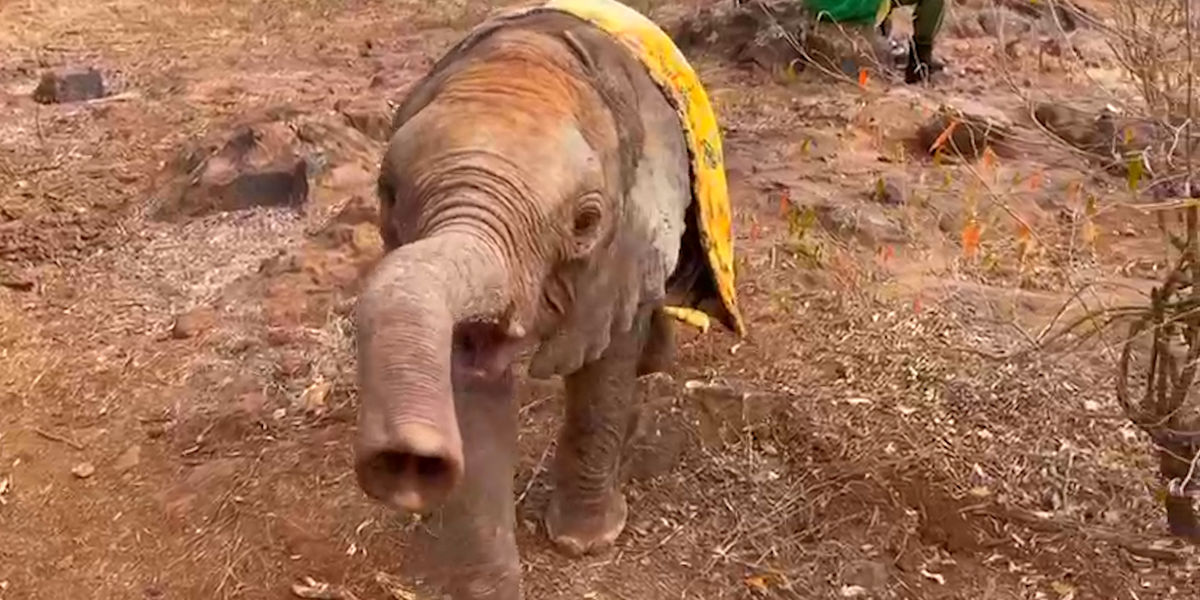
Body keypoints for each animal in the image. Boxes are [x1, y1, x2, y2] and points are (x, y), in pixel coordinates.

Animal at [351, 1, 745, 598]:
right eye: (387, 194)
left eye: (586, 221)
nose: (408, 459)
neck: (531, 55)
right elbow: (472, 385)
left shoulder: (627, 231)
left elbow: (604, 364)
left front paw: (584, 545)